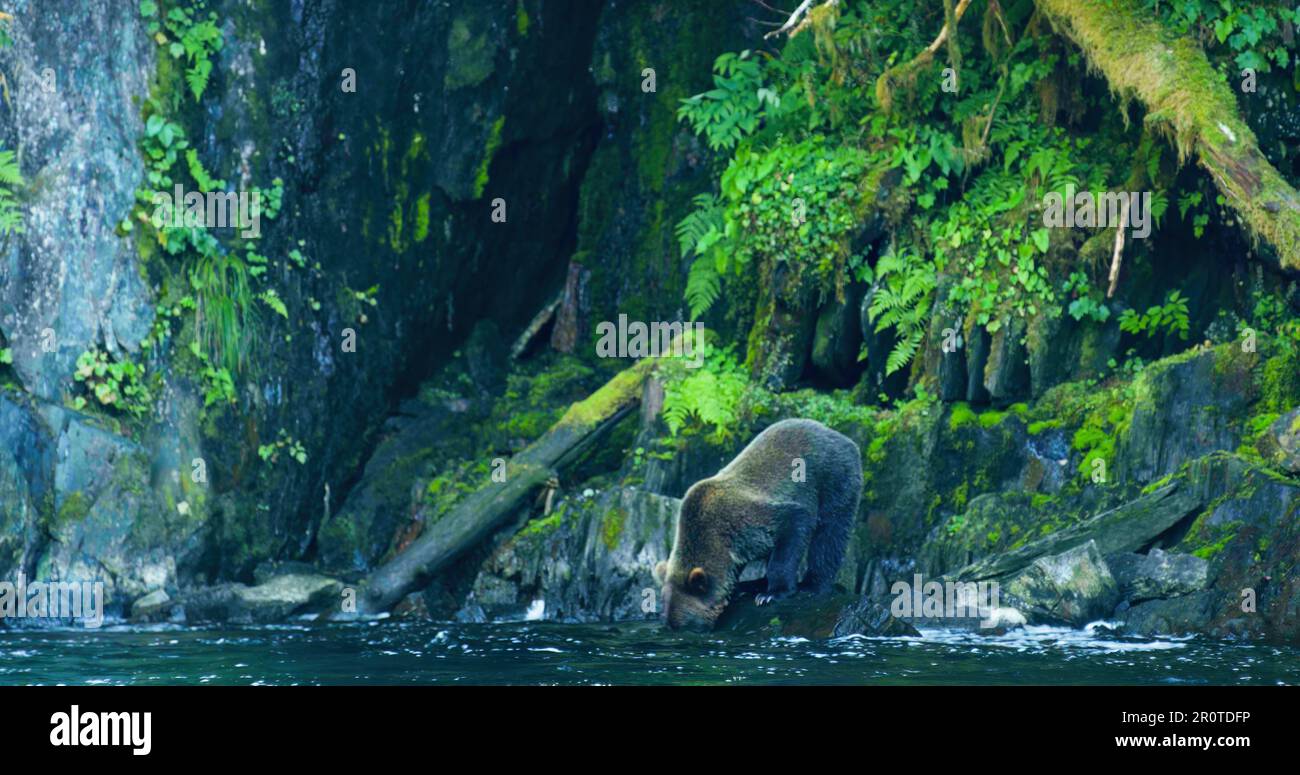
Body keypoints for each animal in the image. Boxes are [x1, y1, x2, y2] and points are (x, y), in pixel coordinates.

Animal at [653, 418, 863, 631]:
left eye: (686, 625)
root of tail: (842, 437)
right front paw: (743, 588)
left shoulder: (743, 521)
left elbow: (794, 523)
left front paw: (771, 594)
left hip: (833, 476)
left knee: (830, 534)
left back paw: (812, 584)